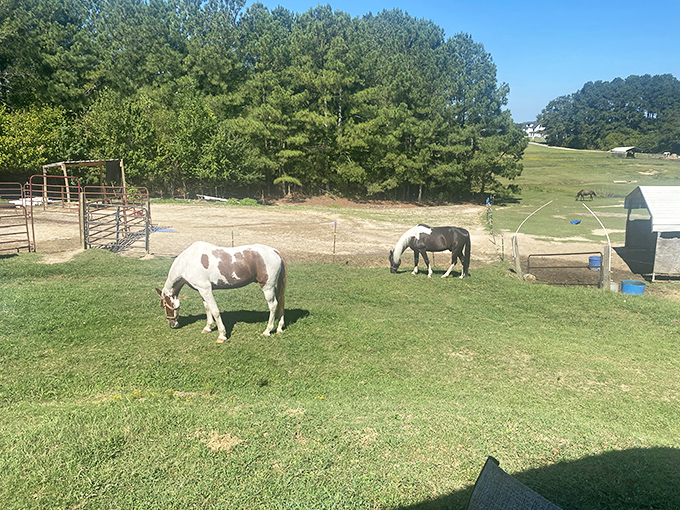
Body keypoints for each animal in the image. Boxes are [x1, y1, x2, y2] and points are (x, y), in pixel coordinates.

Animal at [156, 241, 286, 343]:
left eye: (164, 305)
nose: (172, 324)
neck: (187, 263)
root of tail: (275, 251)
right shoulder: (202, 291)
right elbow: (207, 308)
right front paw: (208, 328)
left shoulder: (206, 290)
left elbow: (215, 311)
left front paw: (222, 335)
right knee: (280, 302)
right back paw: (279, 328)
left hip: (267, 287)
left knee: (273, 305)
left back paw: (267, 330)